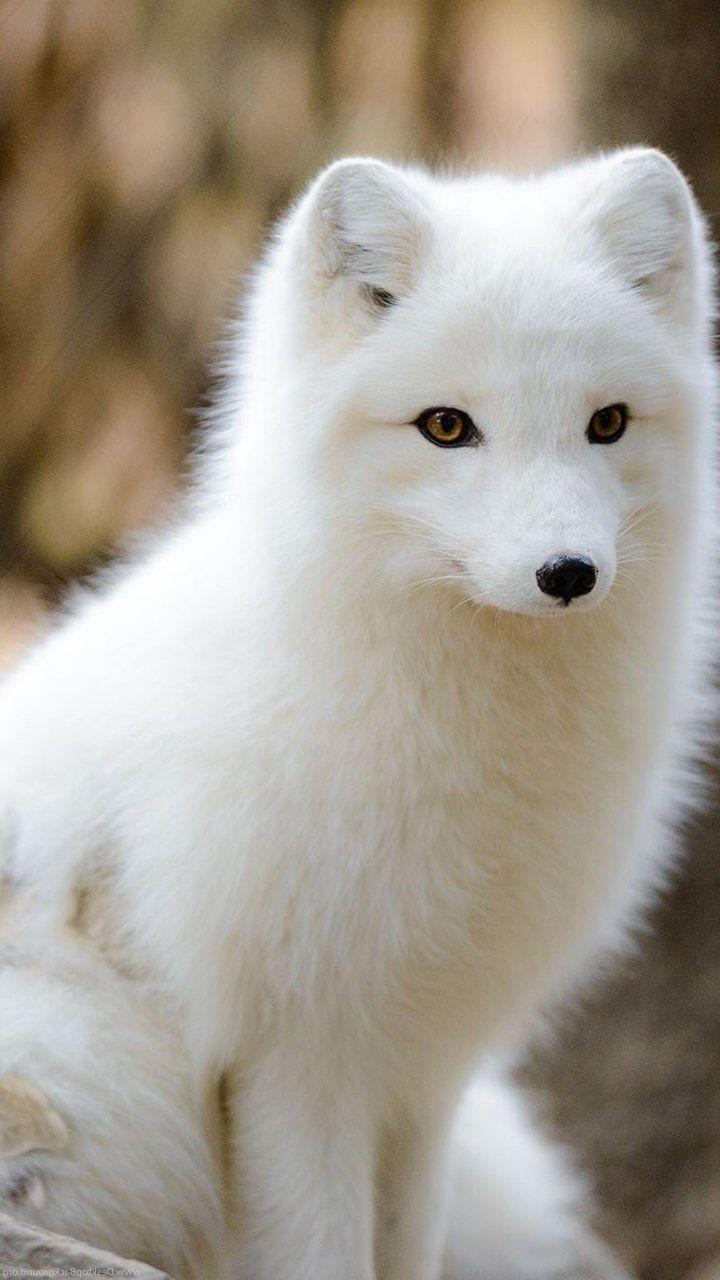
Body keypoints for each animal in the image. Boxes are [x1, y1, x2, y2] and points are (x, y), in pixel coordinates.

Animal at [0, 147, 715, 1280]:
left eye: (607, 421)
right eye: (447, 426)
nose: (568, 573)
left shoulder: (425, 1064)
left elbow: (404, 1244)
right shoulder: (299, 1056)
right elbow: (322, 1251)